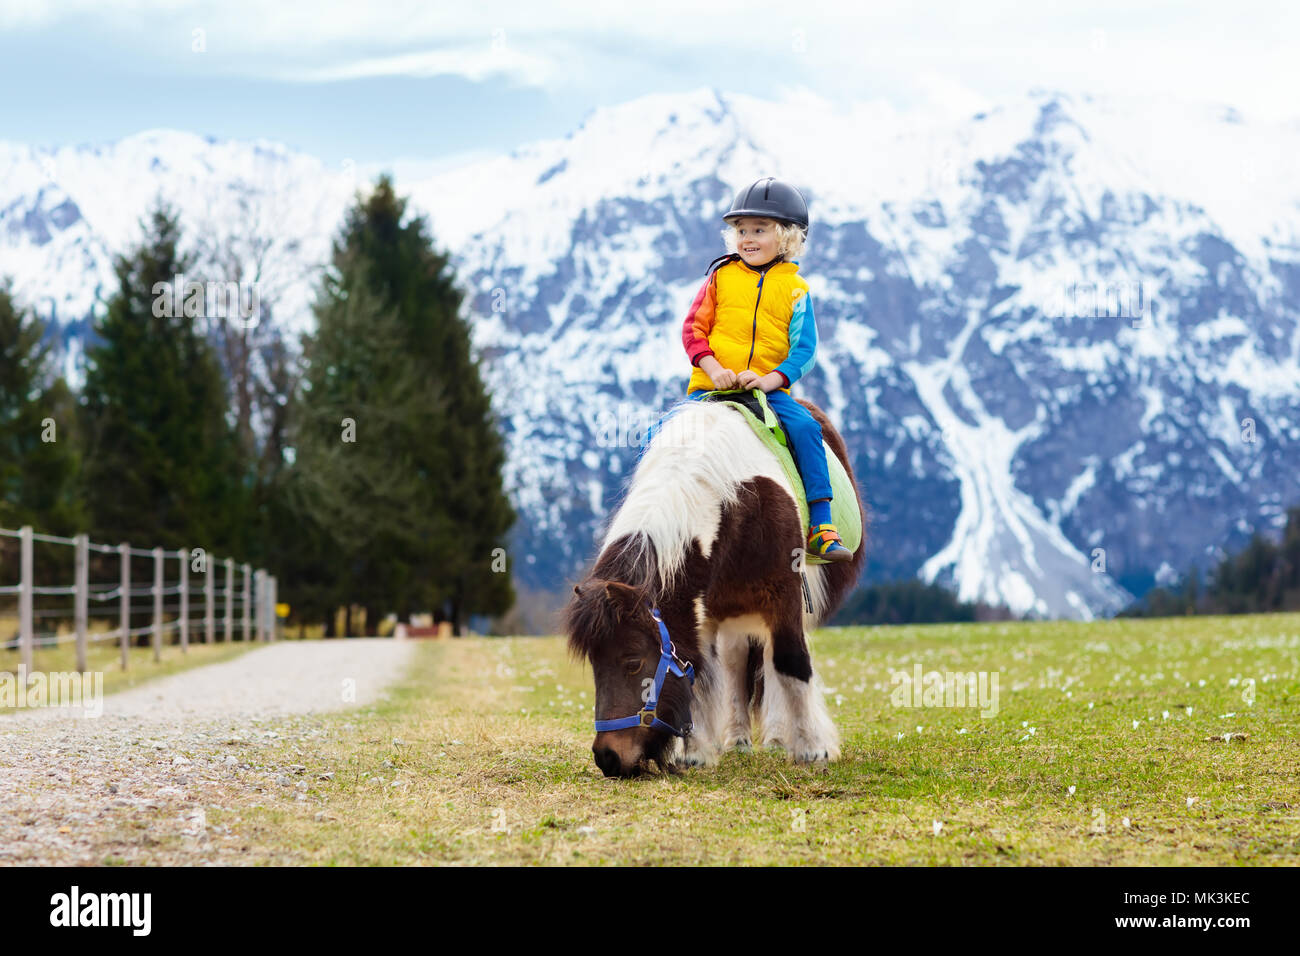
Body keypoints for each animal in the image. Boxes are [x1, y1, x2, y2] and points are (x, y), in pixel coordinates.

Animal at [565, 393, 867, 778]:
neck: (736, 501)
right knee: (736, 661)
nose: (608, 757)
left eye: (632, 661)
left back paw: (777, 738)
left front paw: (813, 749)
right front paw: (695, 754)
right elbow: (700, 670)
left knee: (772, 661)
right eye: (593, 662)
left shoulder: (784, 595)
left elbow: (791, 662)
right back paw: (738, 740)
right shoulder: (699, 609)